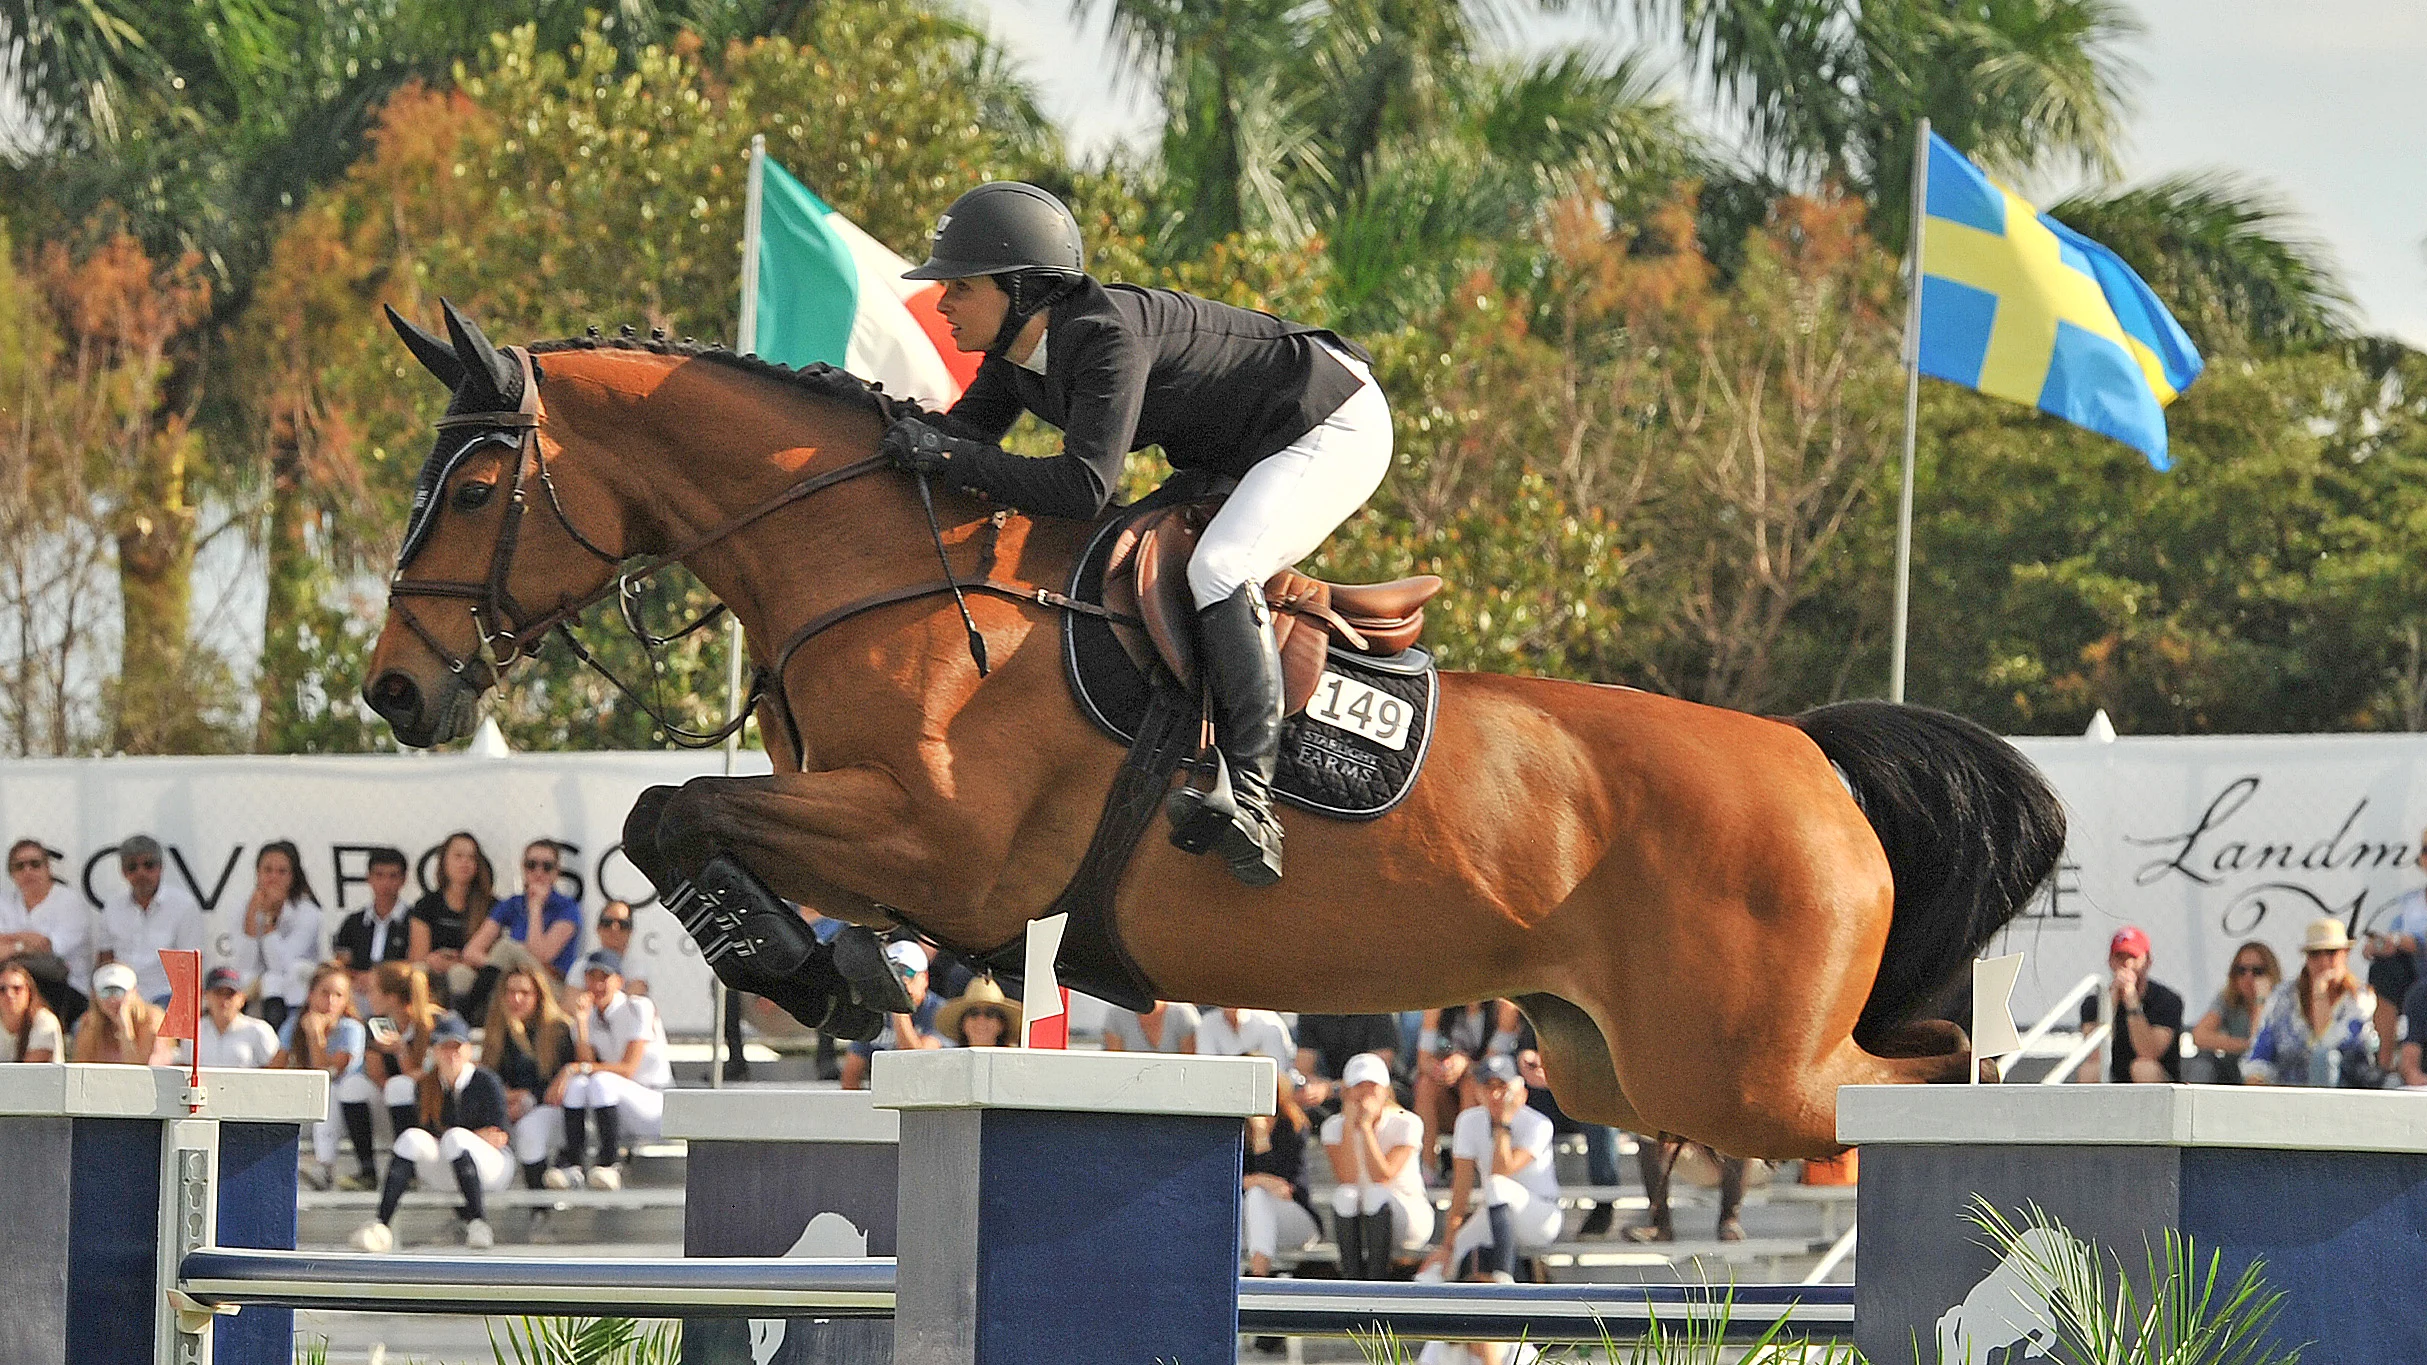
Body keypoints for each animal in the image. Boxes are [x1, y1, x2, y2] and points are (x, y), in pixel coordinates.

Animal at [361, 302, 2065, 1158]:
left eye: (469, 483)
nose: (392, 690)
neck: (882, 565)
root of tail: (1813, 764)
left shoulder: (947, 850)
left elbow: (670, 811)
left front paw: (806, 972)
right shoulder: (892, 843)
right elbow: (689, 819)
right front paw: (826, 974)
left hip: (1738, 1074)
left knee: (1902, 1092)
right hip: (1611, 1068)